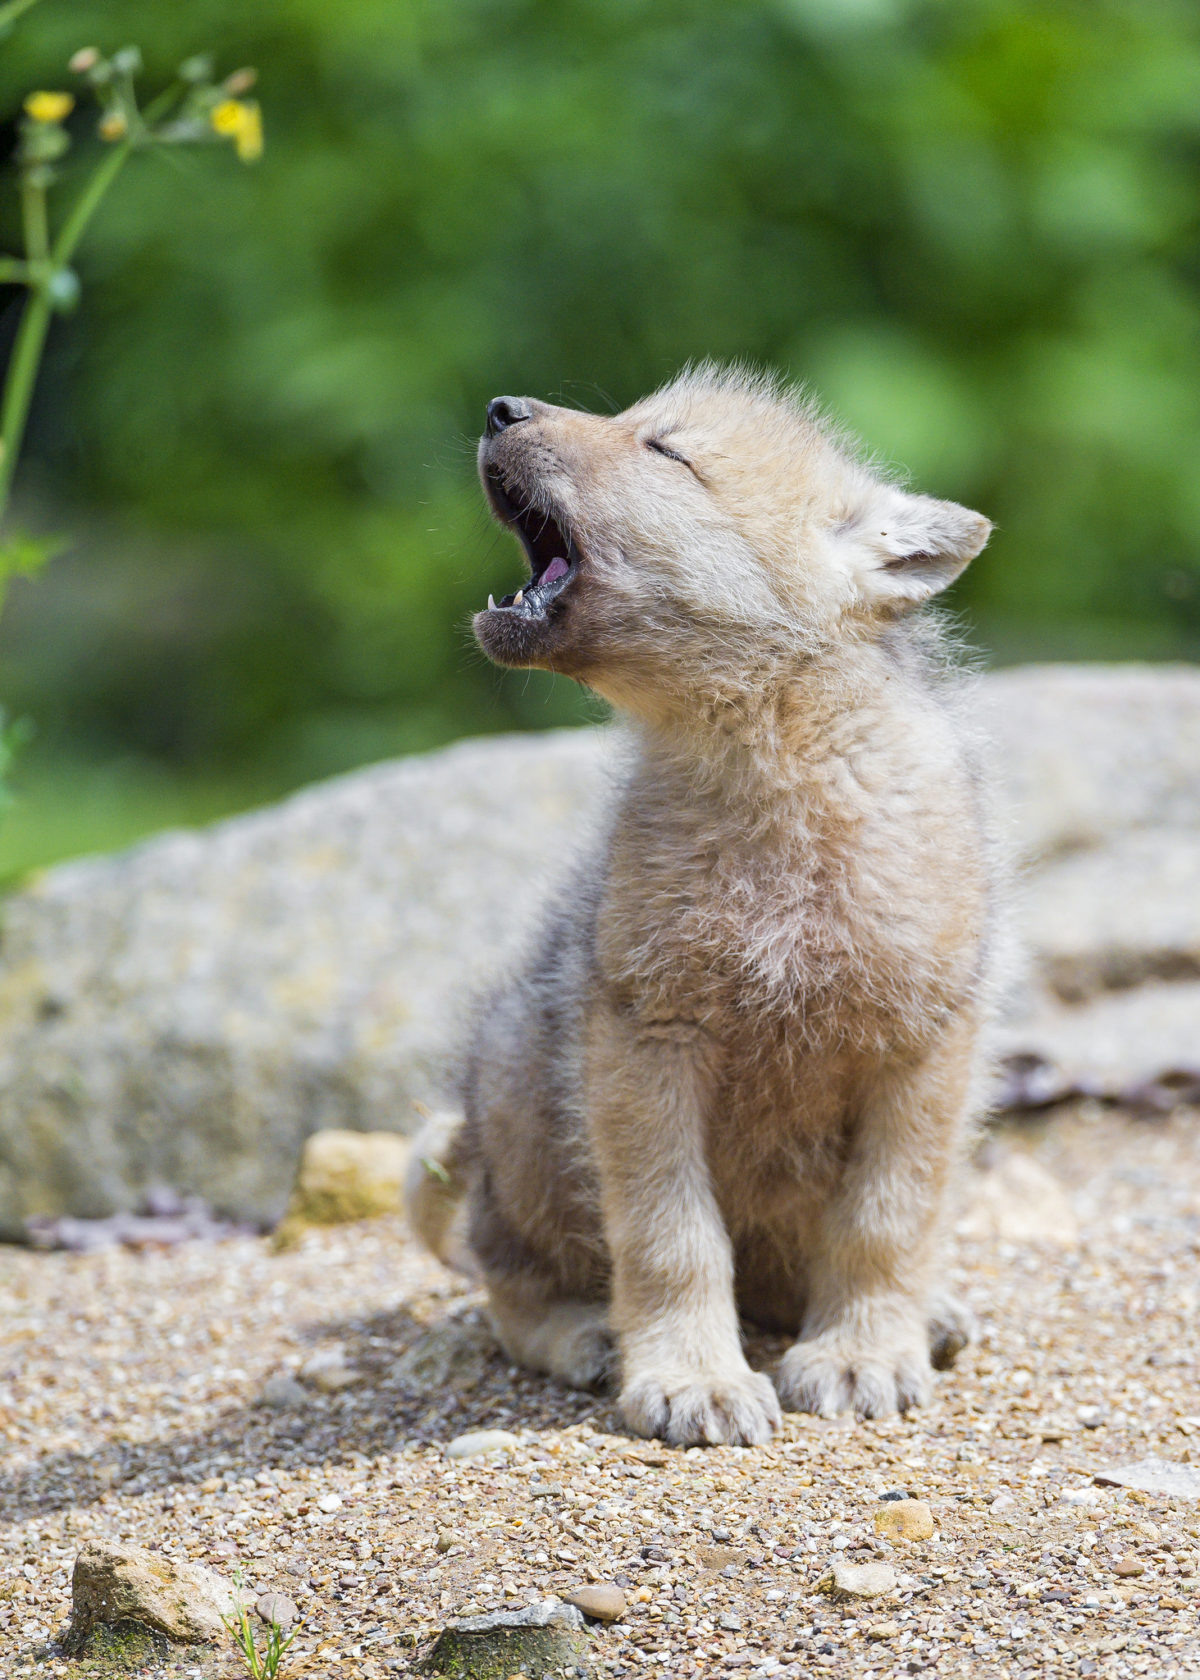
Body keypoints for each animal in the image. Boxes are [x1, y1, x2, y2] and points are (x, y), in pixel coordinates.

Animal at [408, 365, 995, 1447]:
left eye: (666, 451)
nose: (501, 409)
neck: (778, 771)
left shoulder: (924, 1044)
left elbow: (883, 1222)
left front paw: (860, 1354)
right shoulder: (646, 1038)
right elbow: (671, 1236)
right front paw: (694, 1381)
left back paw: (925, 1315)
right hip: (518, 1095)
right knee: (507, 1276)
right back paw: (585, 1334)